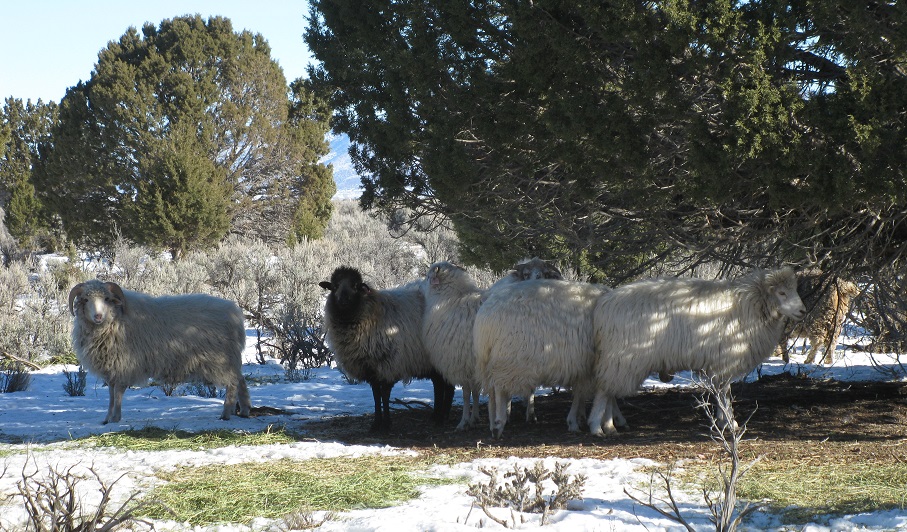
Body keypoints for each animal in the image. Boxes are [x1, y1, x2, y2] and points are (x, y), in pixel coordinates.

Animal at [68, 279, 251, 424]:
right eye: (85, 299)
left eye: (106, 299)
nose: (98, 316)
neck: (116, 319)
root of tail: (235, 312)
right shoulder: (112, 369)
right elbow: (111, 396)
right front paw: (107, 418)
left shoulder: (123, 365)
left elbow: (118, 394)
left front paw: (115, 418)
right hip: (229, 358)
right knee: (241, 380)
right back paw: (244, 410)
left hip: (221, 359)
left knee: (233, 383)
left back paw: (226, 414)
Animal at [319, 266, 454, 432]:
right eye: (335, 286)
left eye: (355, 286)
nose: (343, 300)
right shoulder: (370, 368)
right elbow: (376, 395)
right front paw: (376, 424)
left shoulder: (388, 364)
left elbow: (385, 394)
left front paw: (386, 424)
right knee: (439, 384)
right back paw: (436, 415)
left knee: (446, 386)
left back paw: (442, 417)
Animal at [421, 261, 485, 430]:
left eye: (428, 277)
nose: (420, 287)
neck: (449, 301)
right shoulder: (473, 366)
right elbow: (475, 391)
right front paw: (475, 418)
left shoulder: (463, 363)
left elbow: (466, 394)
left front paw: (464, 422)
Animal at [474, 278, 609, 438]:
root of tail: (485, 315)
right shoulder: (600, 362)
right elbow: (602, 393)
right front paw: (602, 424)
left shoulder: (583, 366)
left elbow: (581, 394)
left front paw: (579, 420)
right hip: (507, 360)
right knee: (499, 389)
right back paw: (498, 424)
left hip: (490, 360)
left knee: (492, 393)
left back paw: (492, 422)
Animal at [587, 267, 806, 437]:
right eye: (782, 293)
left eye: (794, 290)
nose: (803, 311)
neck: (751, 305)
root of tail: (603, 304)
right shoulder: (725, 358)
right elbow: (724, 392)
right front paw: (730, 421)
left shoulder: (720, 361)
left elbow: (722, 391)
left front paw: (723, 420)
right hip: (623, 357)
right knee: (603, 391)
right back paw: (597, 427)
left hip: (618, 359)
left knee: (608, 391)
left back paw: (612, 425)